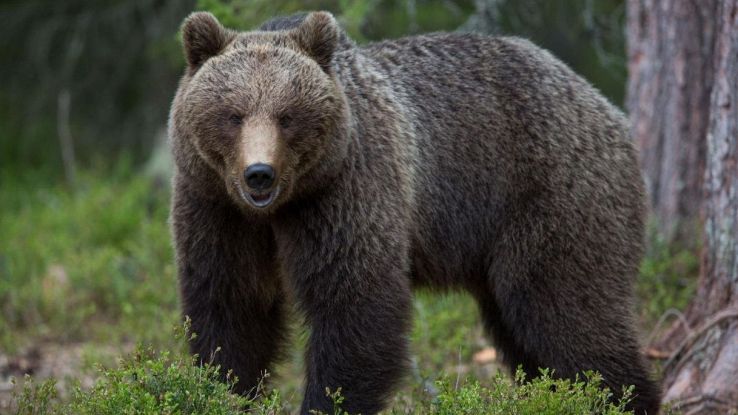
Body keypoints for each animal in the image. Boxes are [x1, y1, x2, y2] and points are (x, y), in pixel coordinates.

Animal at [168, 11, 661, 415]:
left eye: (287, 116)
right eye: (233, 114)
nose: (259, 175)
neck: (281, 208)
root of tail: (605, 106)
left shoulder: (346, 191)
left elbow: (356, 307)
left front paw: (326, 400)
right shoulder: (215, 207)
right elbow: (231, 308)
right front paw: (226, 390)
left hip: (552, 195)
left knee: (567, 309)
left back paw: (622, 396)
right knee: (524, 333)